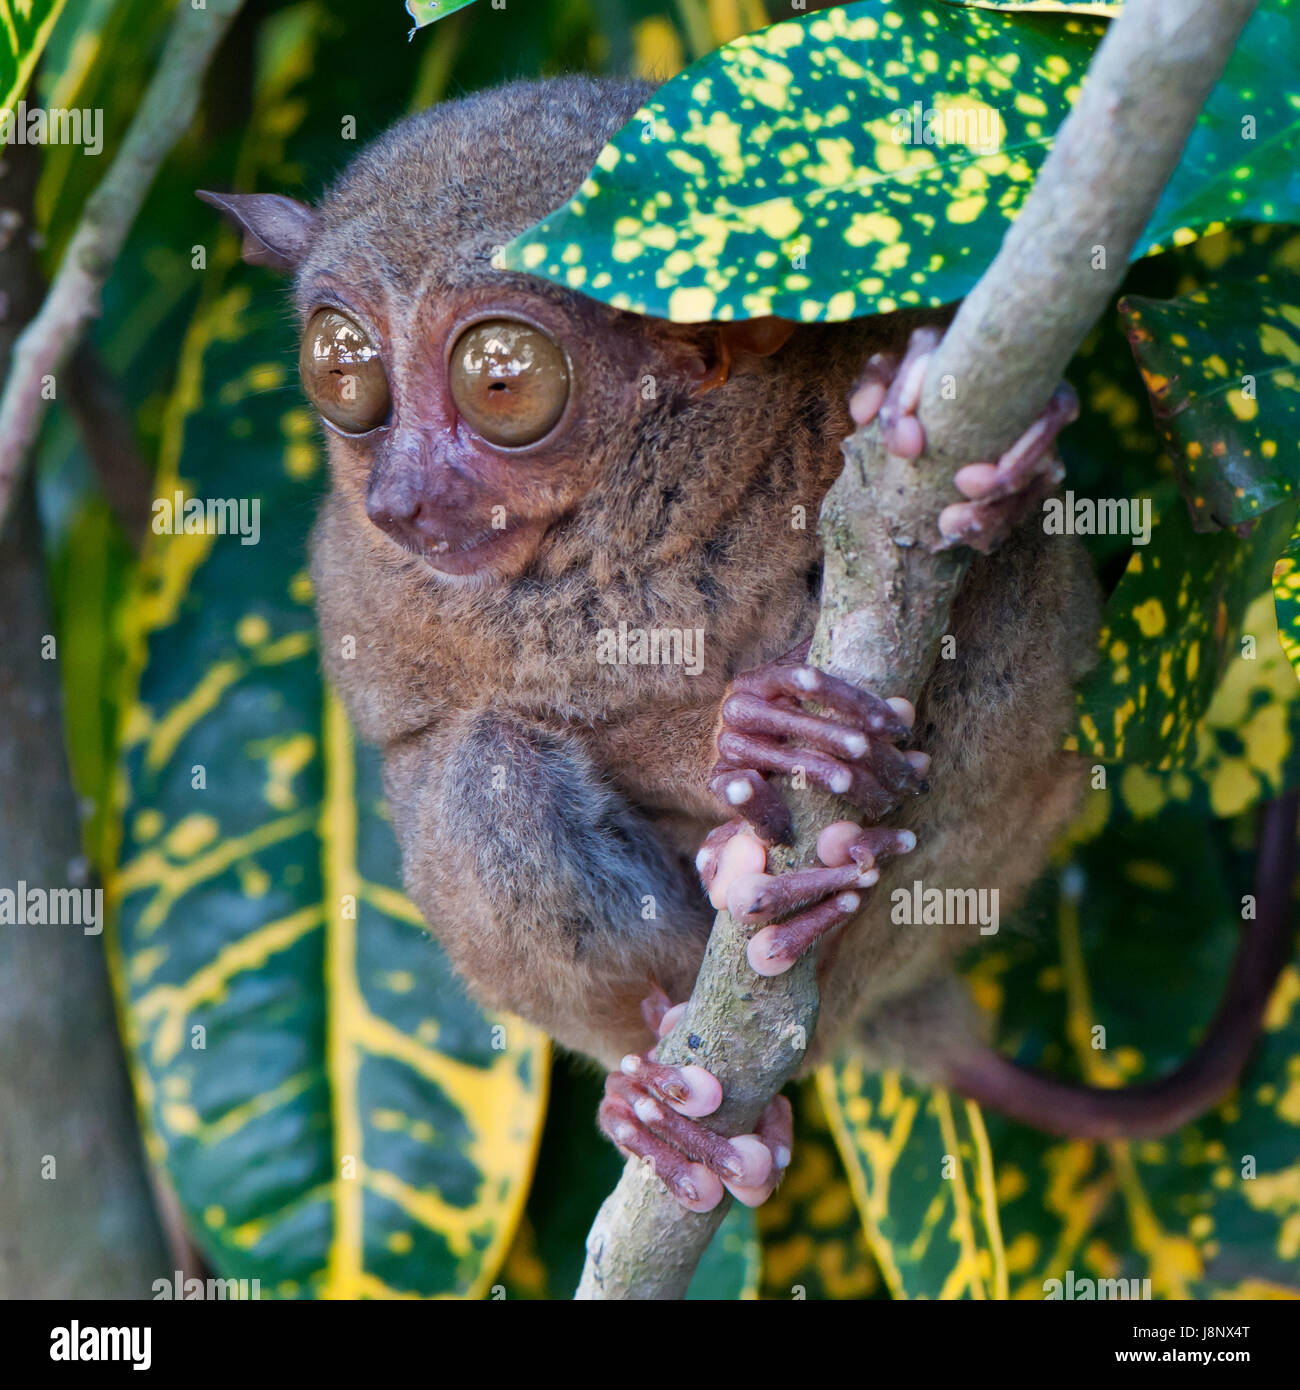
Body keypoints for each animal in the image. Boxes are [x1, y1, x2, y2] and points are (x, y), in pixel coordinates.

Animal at [200, 73, 1297, 1215]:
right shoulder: (363, 587)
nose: (402, 499)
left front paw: (990, 488)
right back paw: (667, 1061)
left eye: (502, 381)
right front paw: (738, 743)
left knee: (1025, 602)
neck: (627, 531)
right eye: (343, 373)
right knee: (476, 768)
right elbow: (424, 733)